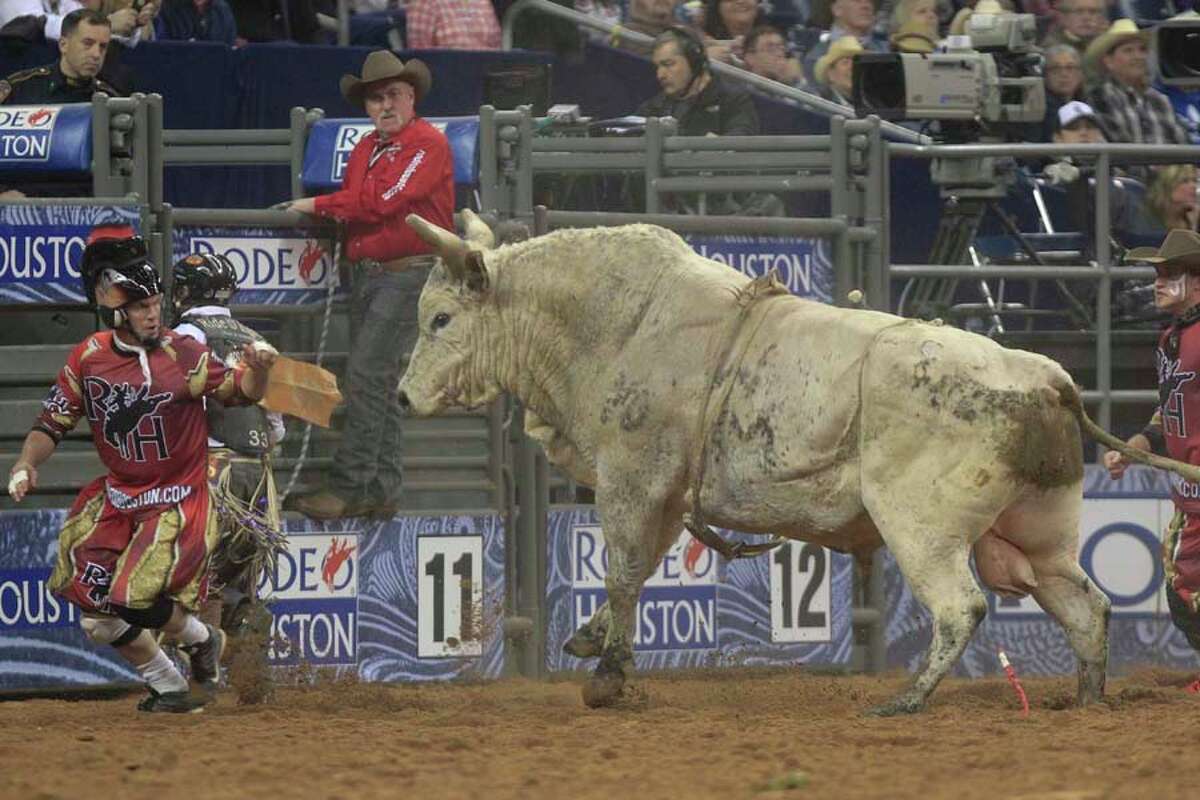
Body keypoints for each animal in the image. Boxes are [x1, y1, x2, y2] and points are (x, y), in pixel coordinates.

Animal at [397, 210, 1195, 715]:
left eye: (440, 319)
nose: (403, 396)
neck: (612, 324)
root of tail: (1046, 379)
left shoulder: (633, 479)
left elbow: (623, 572)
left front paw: (608, 679)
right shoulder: (667, 493)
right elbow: (637, 570)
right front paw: (594, 642)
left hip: (923, 527)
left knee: (960, 607)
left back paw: (906, 701)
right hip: (1036, 533)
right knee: (1084, 605)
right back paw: (1086, 699)